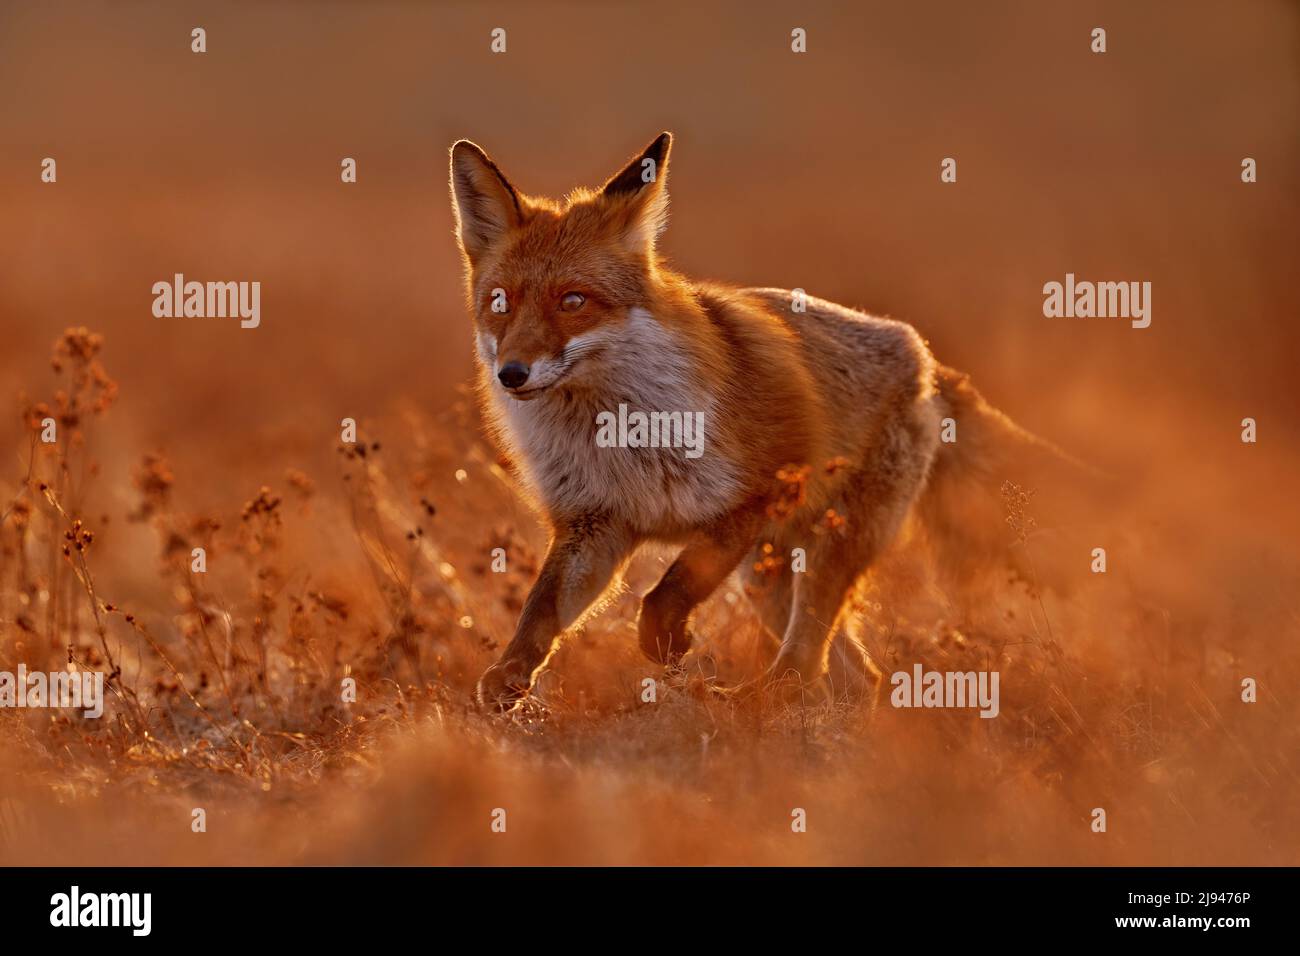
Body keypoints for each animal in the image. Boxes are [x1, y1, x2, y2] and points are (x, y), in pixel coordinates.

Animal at [450, 131, 1083, 711]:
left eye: (573, 301)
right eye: (500, 303)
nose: (511, 374)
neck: (619, 439)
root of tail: (923, 356)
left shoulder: (755, 496)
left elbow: (667, 592)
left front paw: (669, 644)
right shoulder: (595, 523)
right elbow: (540, 611)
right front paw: (506, 681)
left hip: (825, 547)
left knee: (806, 664)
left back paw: (753, 700)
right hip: (766, 574)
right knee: (854, 674)